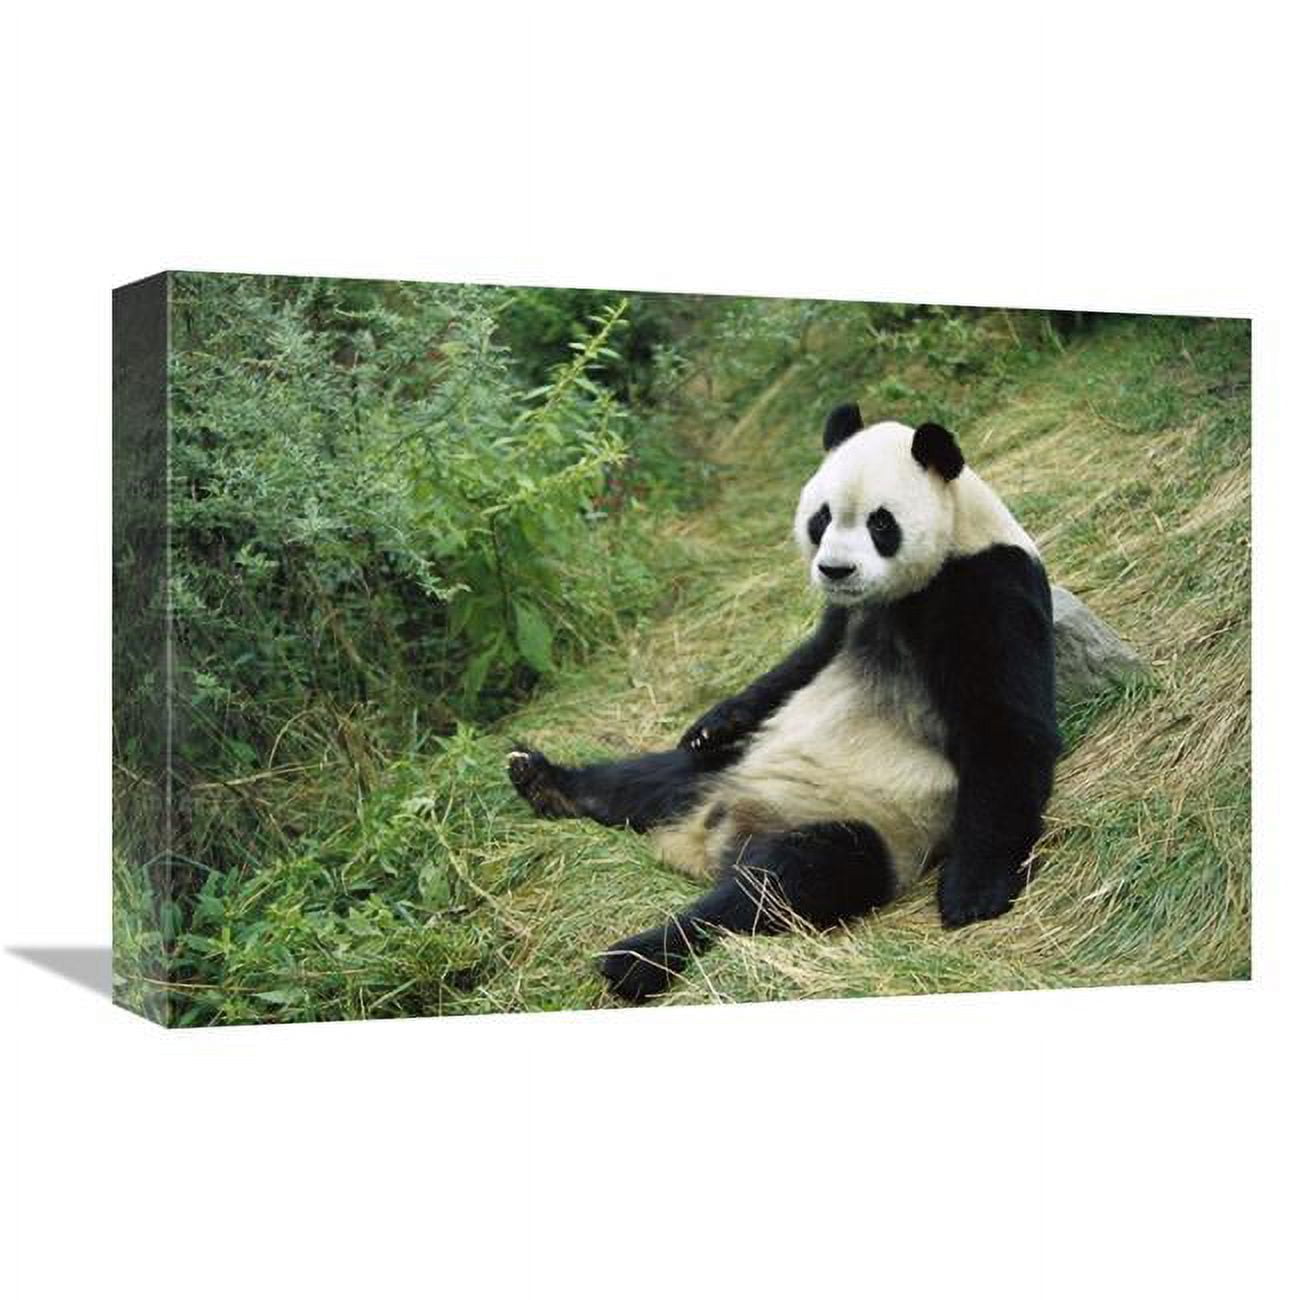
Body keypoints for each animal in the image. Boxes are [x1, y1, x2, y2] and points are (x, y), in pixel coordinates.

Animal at [508, 403, 1061, 1002]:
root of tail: (708, 839)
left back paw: (637, 958)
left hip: (872, 827)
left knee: (785, 882)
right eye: (822, 517)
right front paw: (712, 722)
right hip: (733, 767)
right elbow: (799, 666)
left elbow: (1004, 729)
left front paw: (973, 894)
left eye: (880, 523)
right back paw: (544, 781)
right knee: (651, 777)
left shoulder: (986, 589)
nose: (835, 570)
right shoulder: (845, 620)